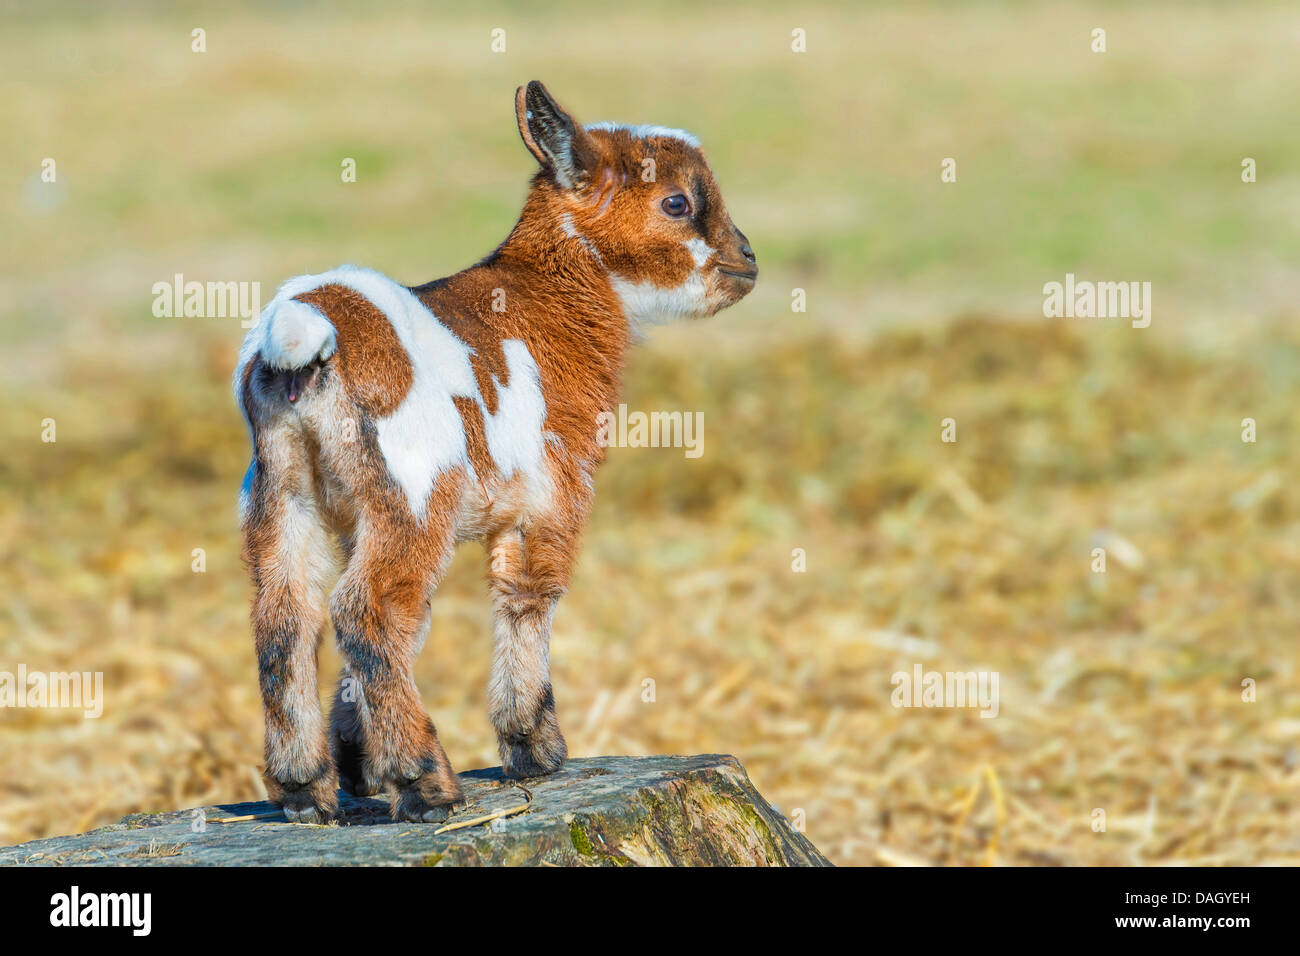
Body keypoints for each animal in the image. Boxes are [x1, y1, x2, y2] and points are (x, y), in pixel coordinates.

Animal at [234, 81, 758, 823]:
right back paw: (427, 783)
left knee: (286, 617)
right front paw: (533, 749)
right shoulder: (552, 490)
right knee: (367, 610)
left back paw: (305, 788)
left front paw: (360, 766)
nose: (747, 258)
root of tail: (302, 327)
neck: (547, 302)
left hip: (283, 492)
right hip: (415, 492)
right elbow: (528, 595)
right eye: (677, 203)